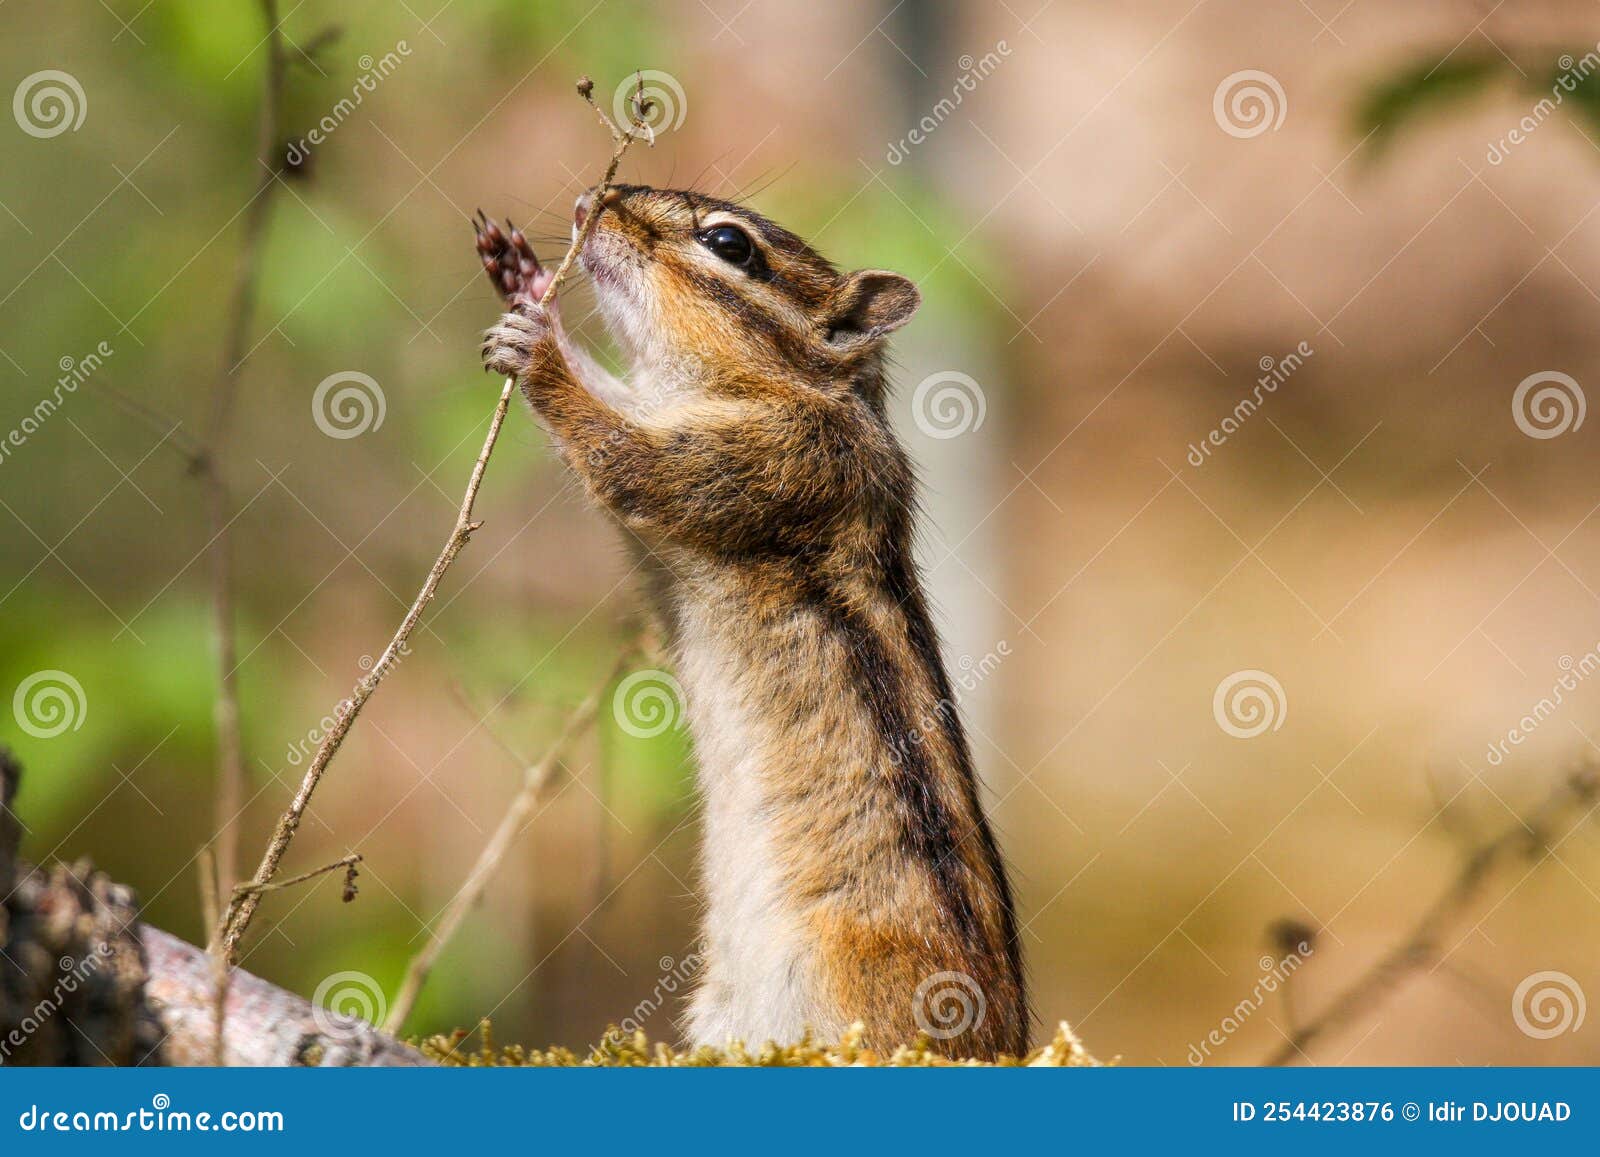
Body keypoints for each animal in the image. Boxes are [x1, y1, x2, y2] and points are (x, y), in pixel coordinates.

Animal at [474, 185, 1027, 1059]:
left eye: (730, 245)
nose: (592, 199)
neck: (799, 389)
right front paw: (524, 279)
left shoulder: (775, 460)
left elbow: (622, 458)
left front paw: (543, 352)